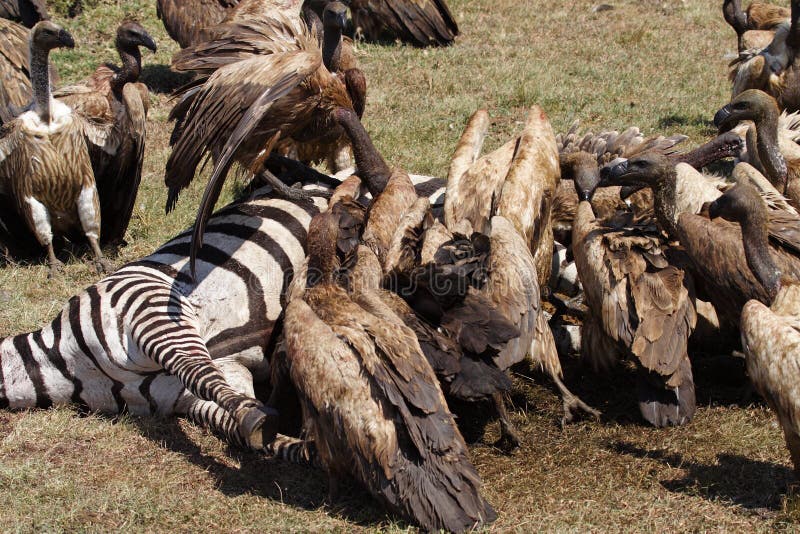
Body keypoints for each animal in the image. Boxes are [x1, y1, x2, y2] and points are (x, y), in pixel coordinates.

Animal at [0, 172, 446, 453]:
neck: (63, 362)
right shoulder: (177, 392)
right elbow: (228, 416)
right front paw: (288, 444)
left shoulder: (145, 305)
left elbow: (199, 371)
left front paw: (268, 426)